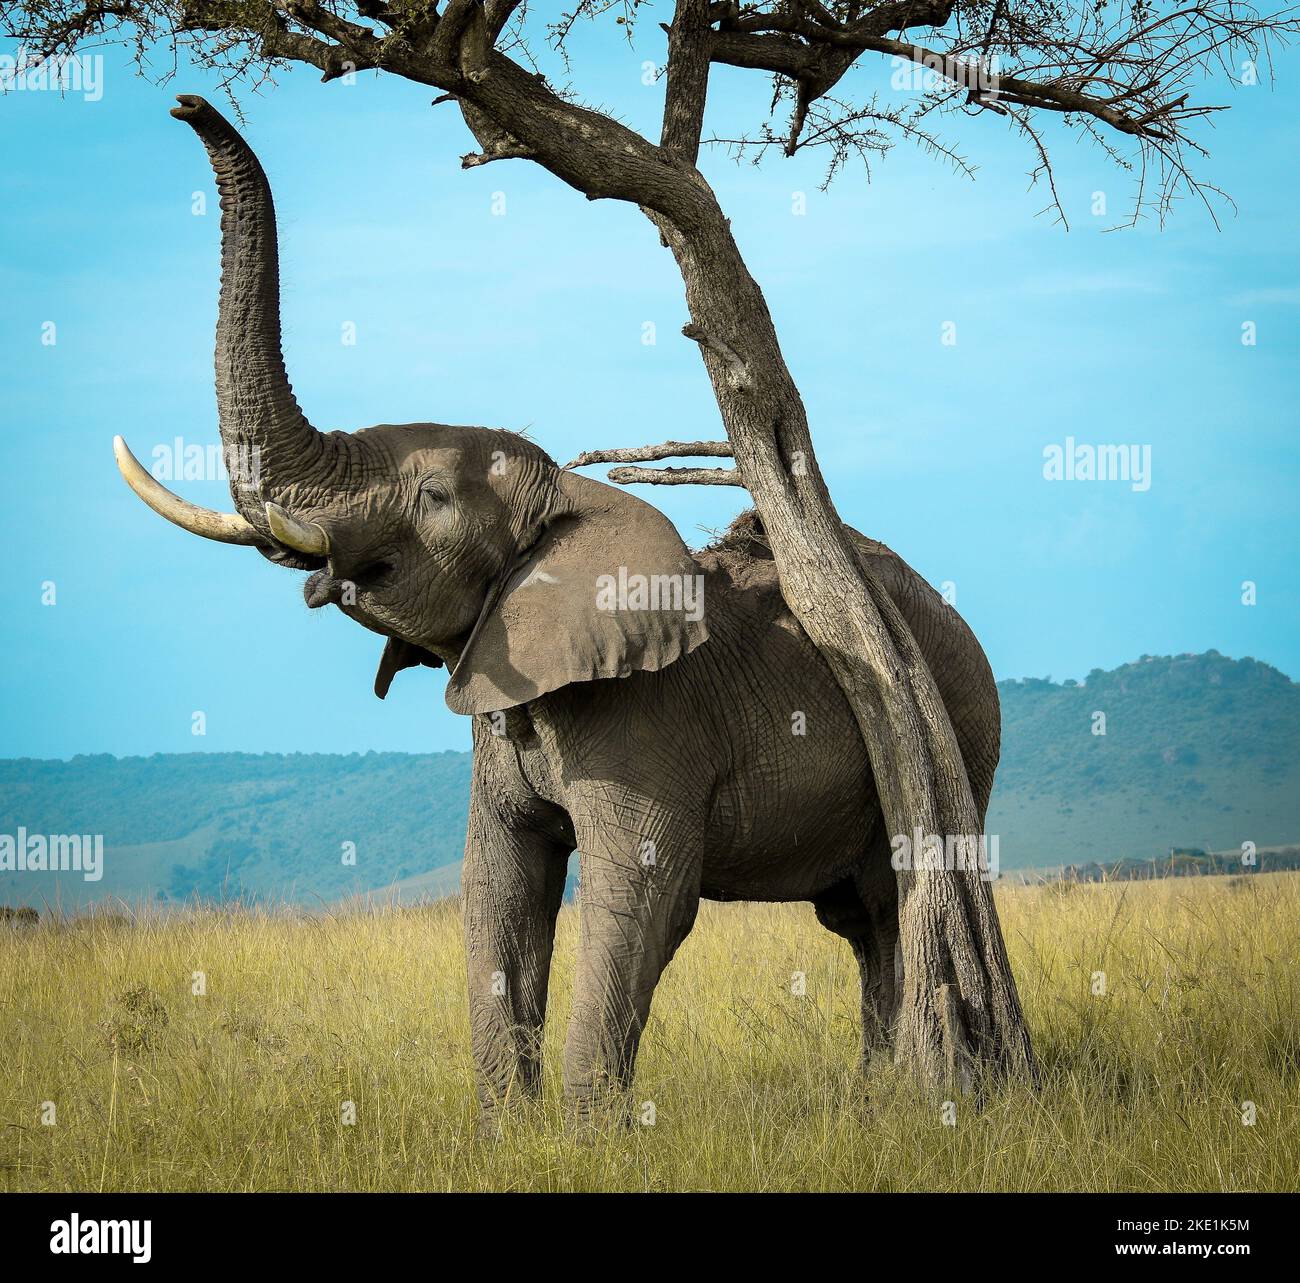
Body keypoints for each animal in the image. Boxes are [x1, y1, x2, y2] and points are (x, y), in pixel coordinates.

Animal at [115, 97, 1001, 1120]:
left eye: (432, 498)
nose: (187, 106)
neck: (572, 499)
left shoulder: (651, 716)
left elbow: (638, 896)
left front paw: (586, 1133)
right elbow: (500, 887)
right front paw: (507, 1130)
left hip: (956, 729)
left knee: (892, 905)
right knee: (860, 923)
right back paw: (875, 1095)